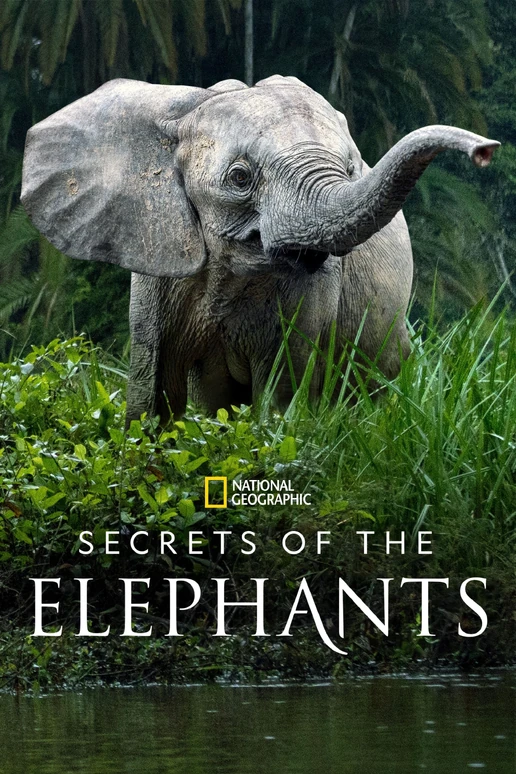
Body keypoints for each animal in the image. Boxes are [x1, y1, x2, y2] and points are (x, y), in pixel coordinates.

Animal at [21, 75, 499, 422]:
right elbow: (153, 393)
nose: (486, 150)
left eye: (351, 170)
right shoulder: (156, 260)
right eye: (239, 177)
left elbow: (281, 392)